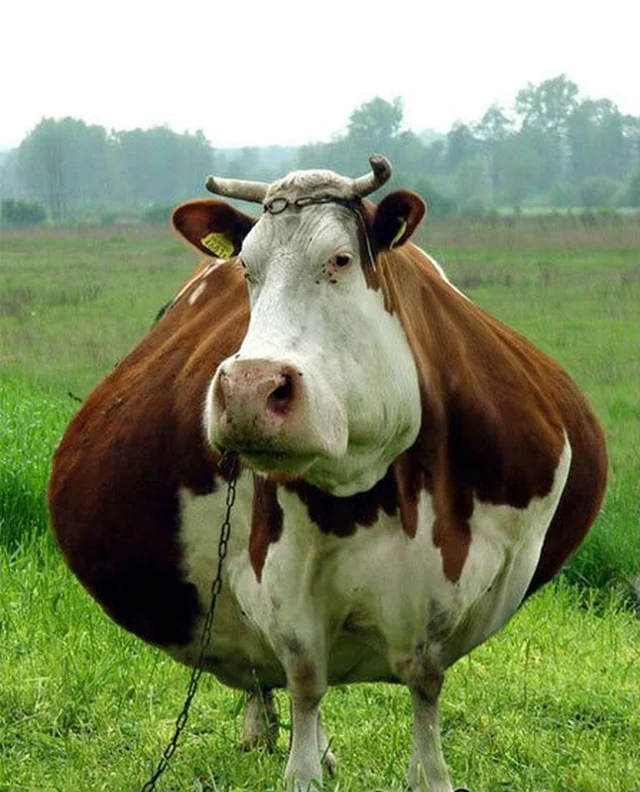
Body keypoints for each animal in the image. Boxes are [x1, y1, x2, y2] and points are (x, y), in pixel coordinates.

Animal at [48, 156, 607, 792]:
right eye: (247, 268)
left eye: (340, 259)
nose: (249, 389)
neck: (383, 488)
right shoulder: (282, 572)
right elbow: (305, 680)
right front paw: (305, 769)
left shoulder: (460, 571)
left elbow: (425, 679)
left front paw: (429, 773)